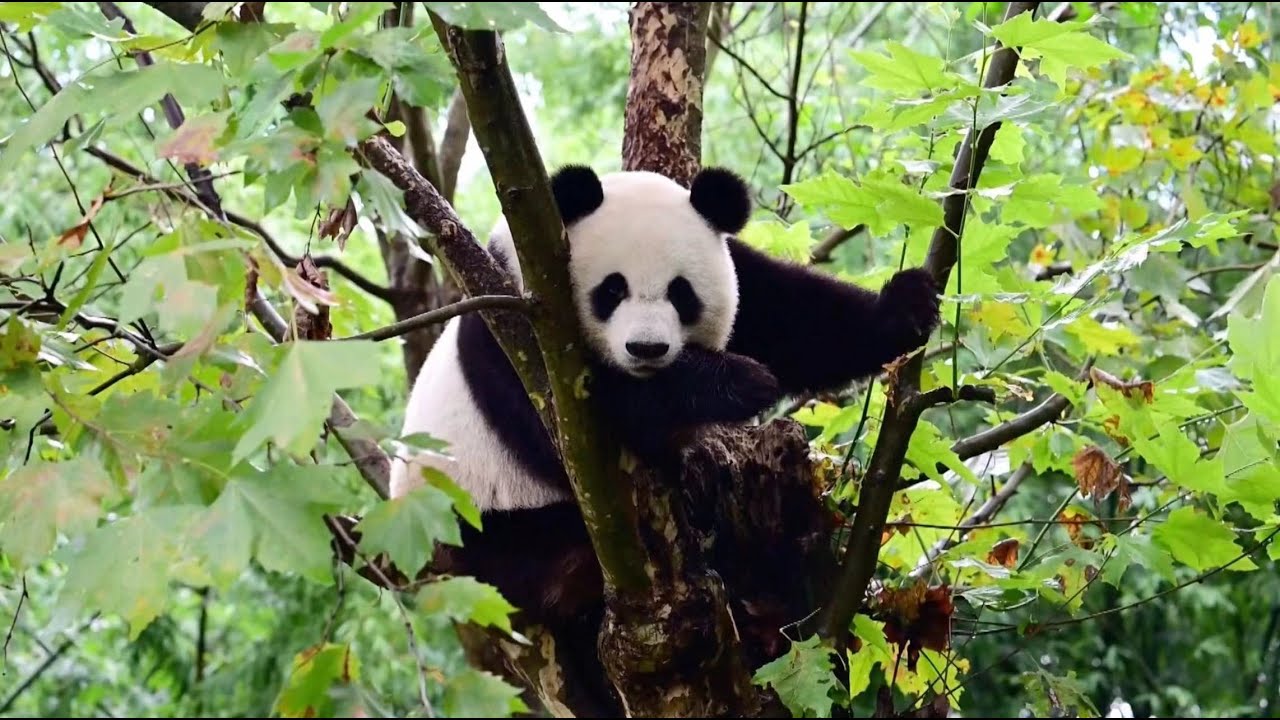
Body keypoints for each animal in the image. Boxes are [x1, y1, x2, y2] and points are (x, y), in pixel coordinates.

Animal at [389, 164, 941, 634]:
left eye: (681, 292)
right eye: (612, 290)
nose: (646, 349)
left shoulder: (742, 275)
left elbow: (795, 319)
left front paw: (907, 306)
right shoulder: (517, 332)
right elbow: (588, 422)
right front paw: (737, 382)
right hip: (494, 525)